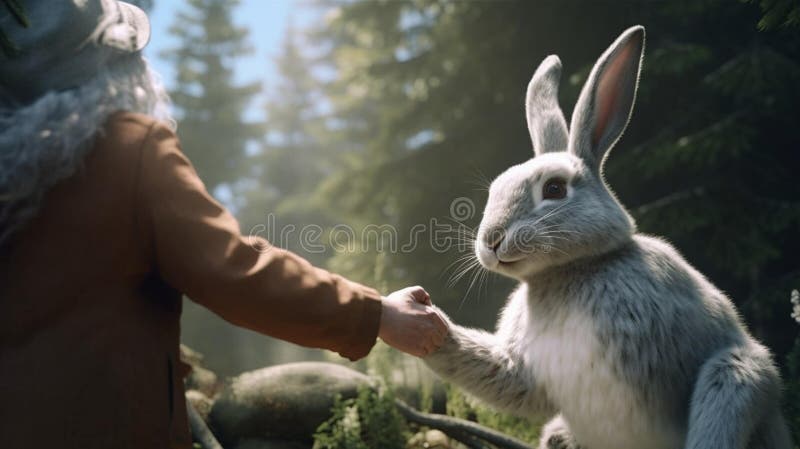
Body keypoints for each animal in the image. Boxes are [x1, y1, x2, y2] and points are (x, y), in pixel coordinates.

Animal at [423, 26, 793, 449]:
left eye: (554, 189)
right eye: (495, 189)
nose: (492, 241)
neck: (570, 271)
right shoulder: (525, 368)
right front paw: (429, 328)